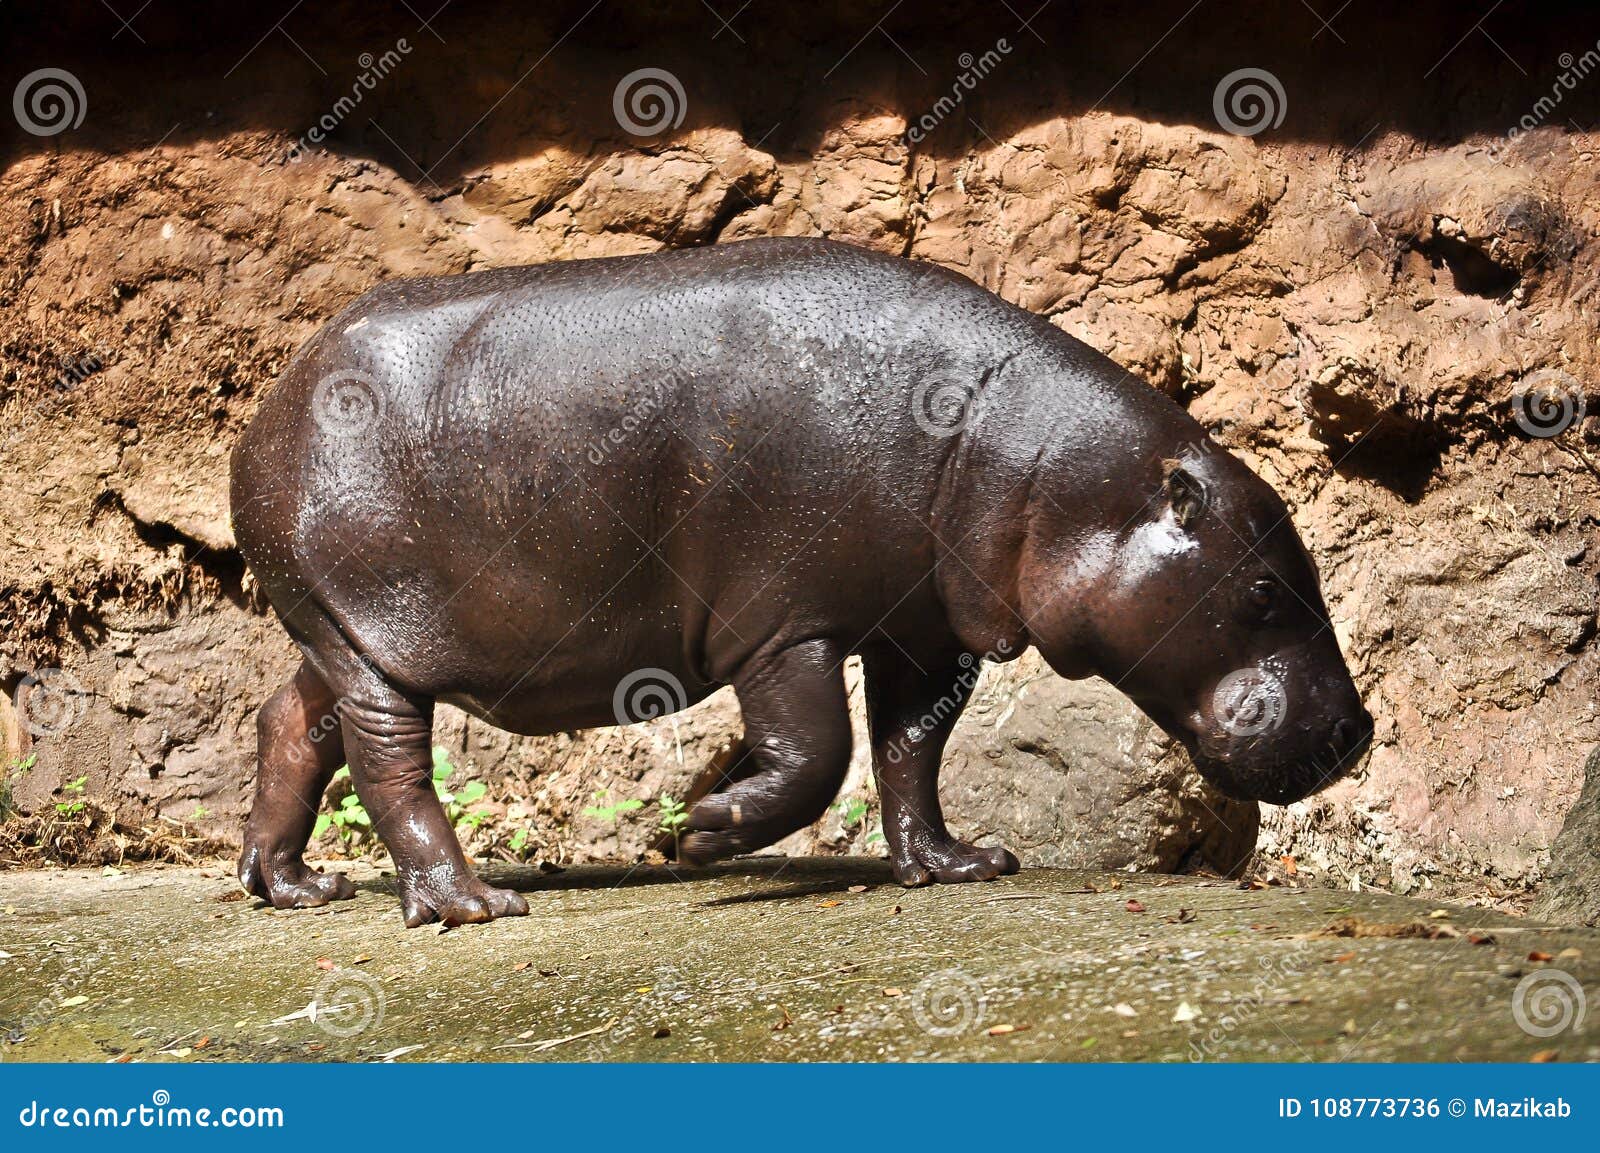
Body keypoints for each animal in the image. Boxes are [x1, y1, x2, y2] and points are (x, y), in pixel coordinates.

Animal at [231, 237, 1372, 927]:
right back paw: (469, 904)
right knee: (389, 763)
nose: (1357, 730)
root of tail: (270, 403)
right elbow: (821, 753)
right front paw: (700, 834)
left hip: (339, 632)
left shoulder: (923, 630)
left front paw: (957, 864)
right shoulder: (785, 622)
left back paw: (292, 885)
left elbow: (910, 752)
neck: (1043, 468)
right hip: (368, 635)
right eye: (1263, 592)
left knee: (290, 724)